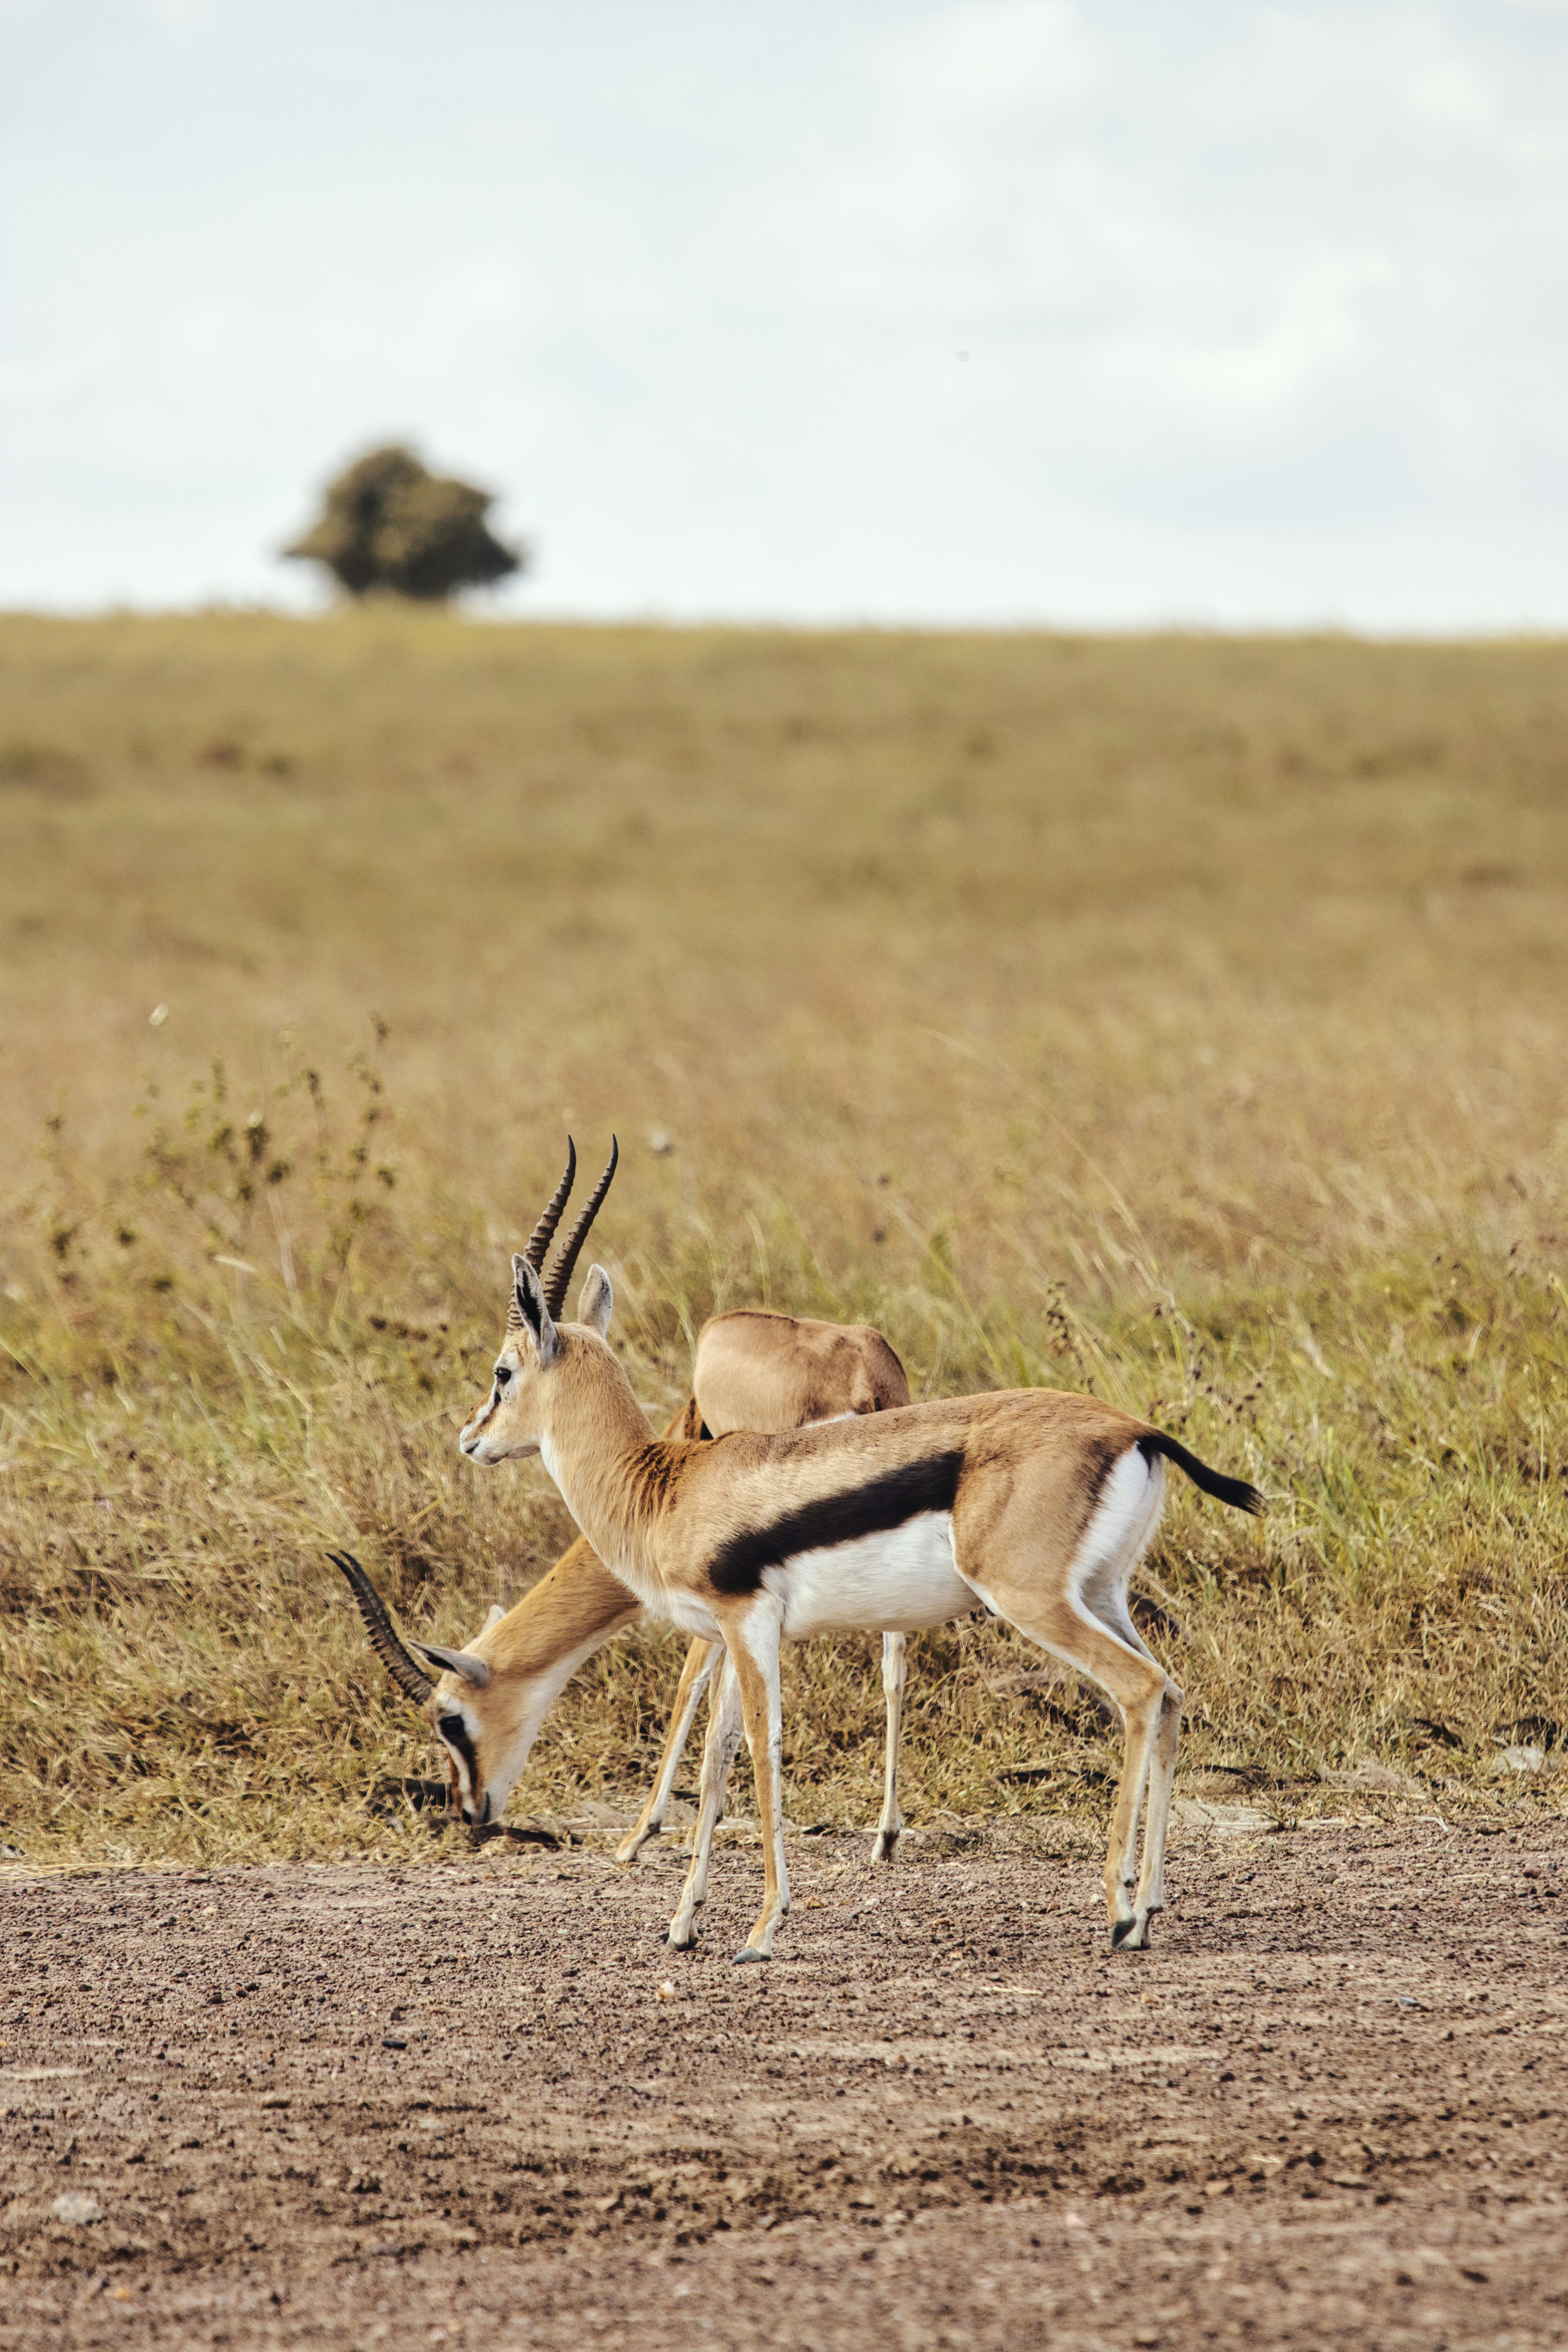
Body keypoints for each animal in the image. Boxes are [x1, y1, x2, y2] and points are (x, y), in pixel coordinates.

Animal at [336, 1144, 916, 1860]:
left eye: (449, 1720)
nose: (469, 1812)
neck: (647, 1464)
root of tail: (860, 1372)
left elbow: (693, 1678)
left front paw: (642, 1834)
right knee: (894, 1655)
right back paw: (885, 1835)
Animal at [458, 1147, 1265, 1960]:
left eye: (502, 1372)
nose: (470, 1440)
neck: (666, 1485)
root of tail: (1135, 1431)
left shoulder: (747, 1625)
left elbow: (763, 1750)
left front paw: (761, 1929)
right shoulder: (732, 1636)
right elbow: (719, 1759)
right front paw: (684, 1922)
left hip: (1033, 1601)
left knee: (1139, 1690)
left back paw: (1121, 1914)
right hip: (1101, 1595)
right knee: (1172, 1692)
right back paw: (1151, 1903)